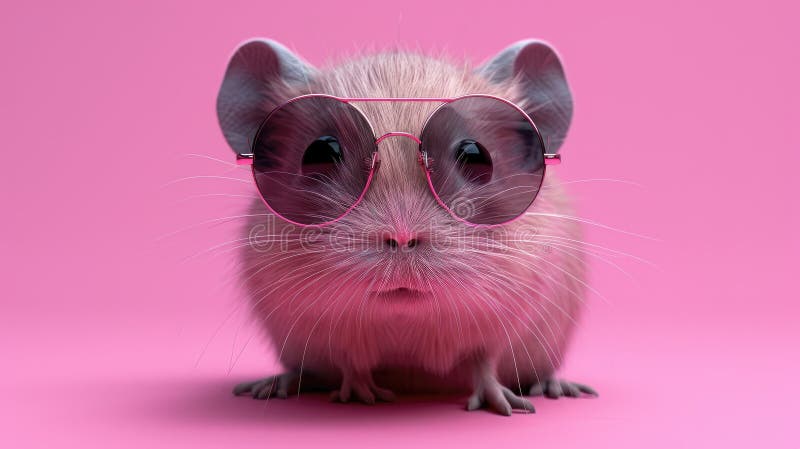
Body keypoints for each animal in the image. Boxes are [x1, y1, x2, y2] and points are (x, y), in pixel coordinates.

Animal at [215, 38, 596, 415]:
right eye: (319, 154)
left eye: (476, 155)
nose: (401, 238)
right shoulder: (326, 330)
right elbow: (350, 362)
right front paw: (362, 396)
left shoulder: (504, 319)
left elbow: (484, 363)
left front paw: (507, 406)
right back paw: (272, 385)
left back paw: (559, 389)